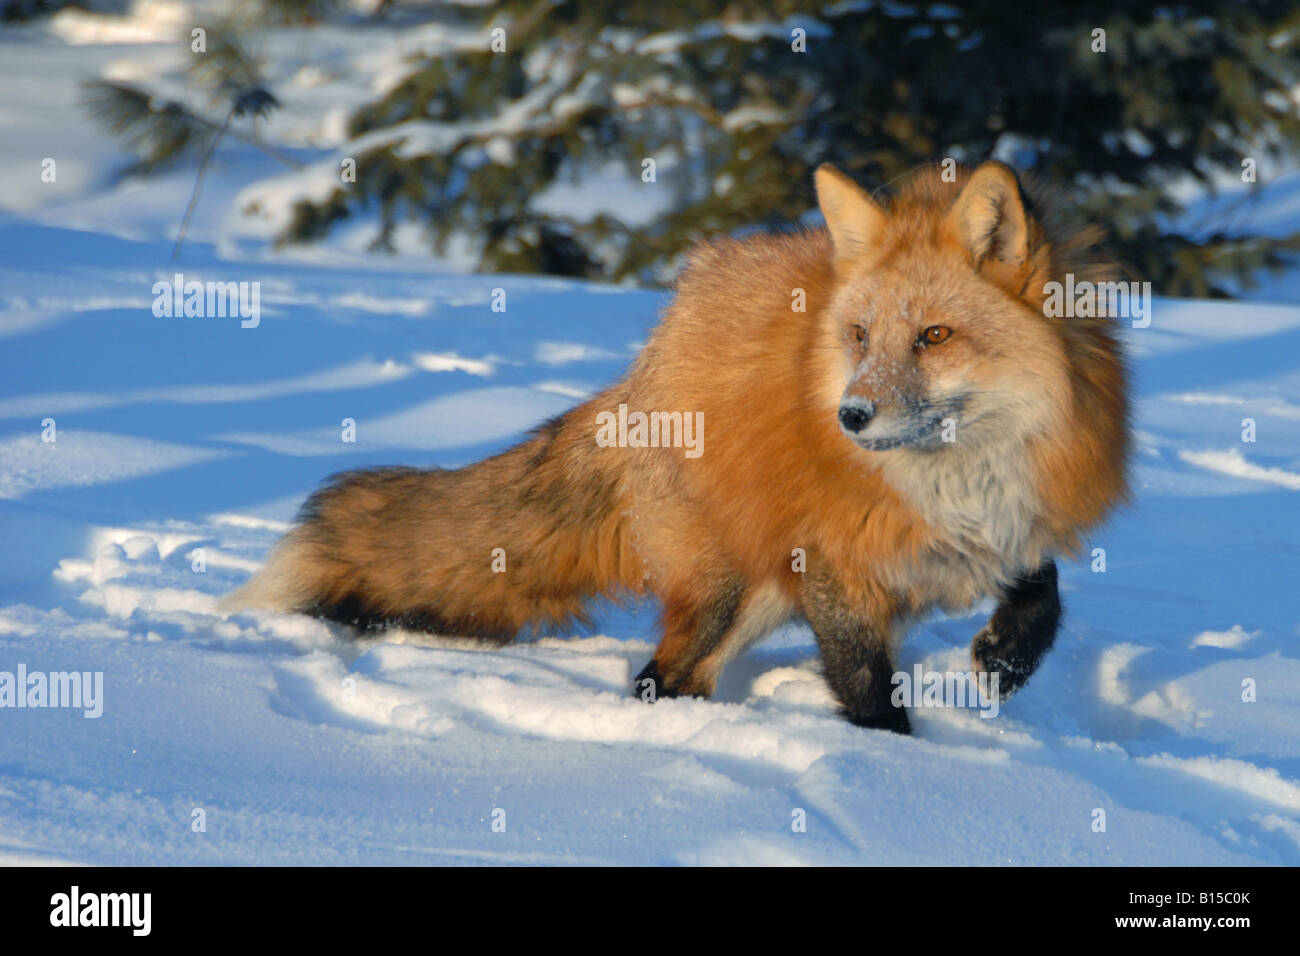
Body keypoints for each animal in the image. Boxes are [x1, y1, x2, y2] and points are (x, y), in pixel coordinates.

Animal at [220, 160, 1129, 734]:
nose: (851, 417)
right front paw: (890, 771)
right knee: (662, 680)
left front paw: (1004, 658)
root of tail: (656, 347)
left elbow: (1042, 589)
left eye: (935, 336)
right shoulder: (835, 567)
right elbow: (868, 692)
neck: (955, 484)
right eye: (861, 337)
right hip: (731, 587)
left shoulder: (1011, 522)